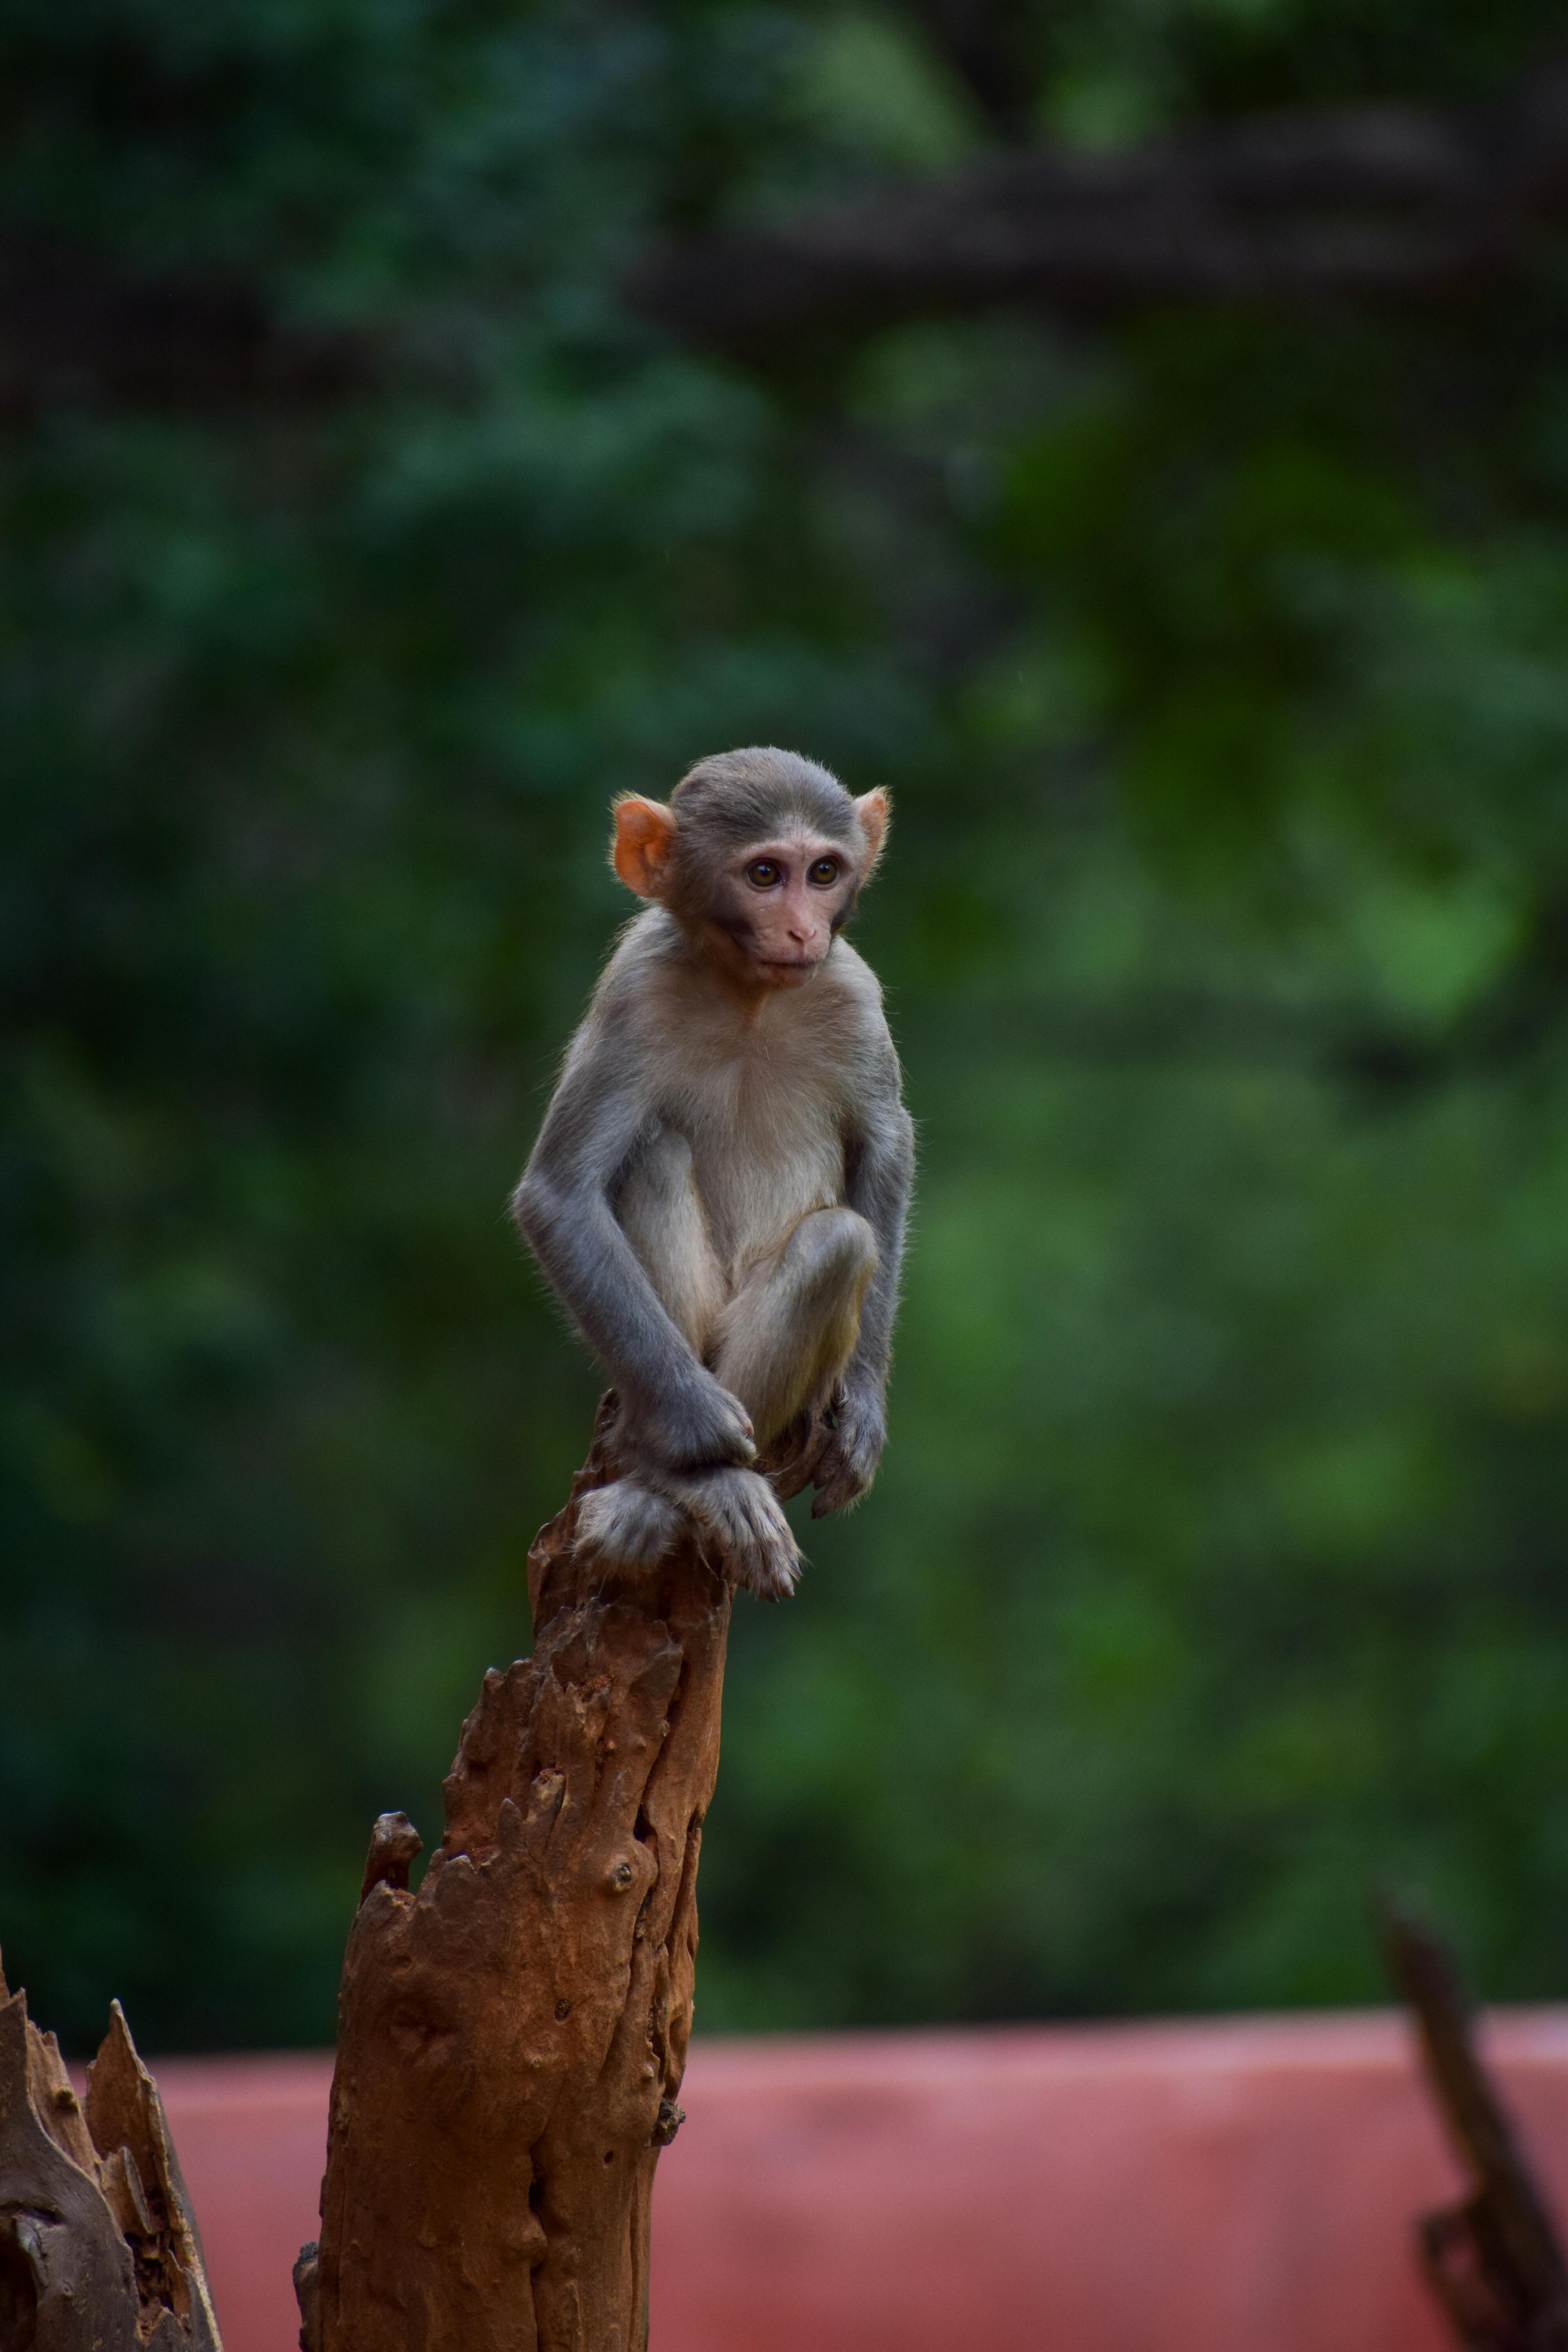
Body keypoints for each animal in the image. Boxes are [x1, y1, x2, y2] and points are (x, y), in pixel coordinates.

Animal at [512, 746, 915, 1600]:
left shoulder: (852, 992)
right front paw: (698, 1437)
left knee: (836, 1244)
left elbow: (885, 1146)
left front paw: (865, 1406)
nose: (801, 928)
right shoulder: (634, 992)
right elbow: (561, 1193)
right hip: (681, 1346)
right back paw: (682, 1474)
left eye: (823, 871)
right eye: (764, 874)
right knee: (650, 1153)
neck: (749, 995)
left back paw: (674, 1494)